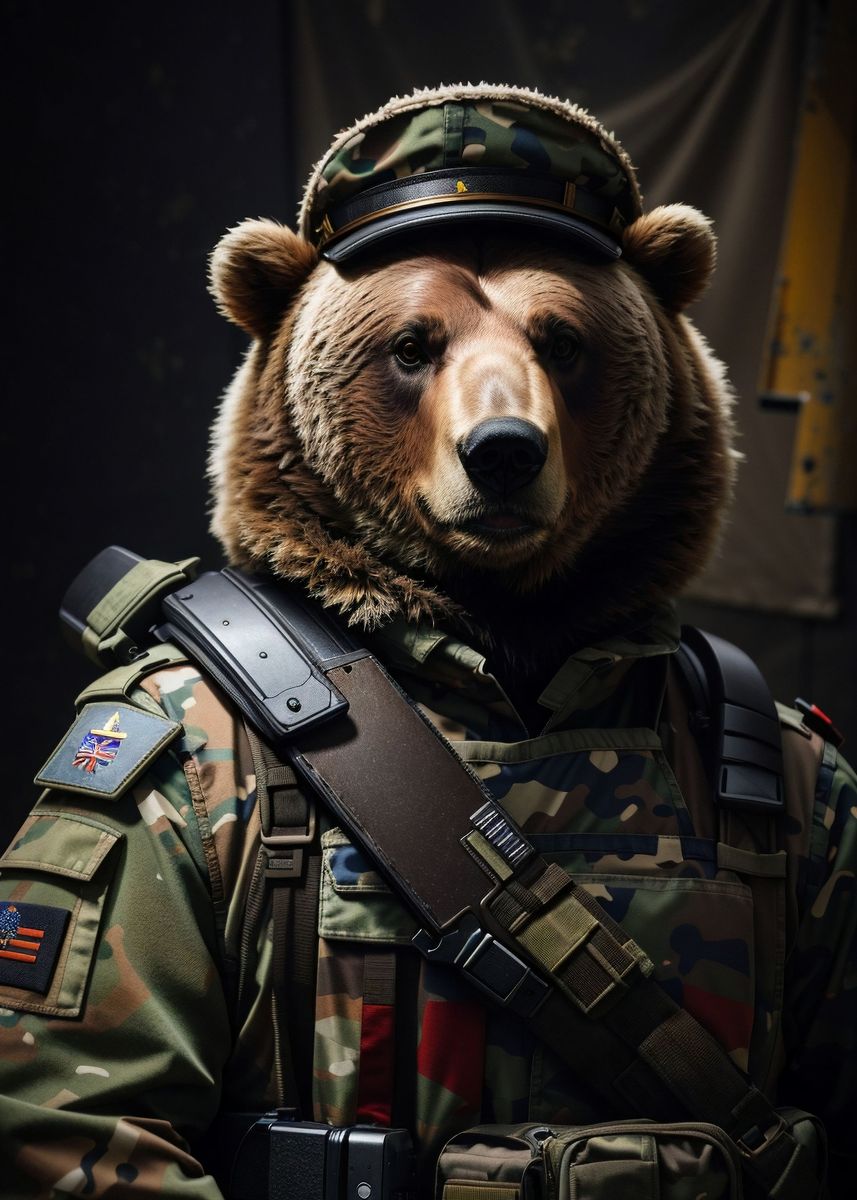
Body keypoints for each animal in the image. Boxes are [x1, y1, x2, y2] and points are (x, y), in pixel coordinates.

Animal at [0, 84, 853, 1200]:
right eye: (411, 346)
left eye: (562, 341)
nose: (503, 452)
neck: (510, 651)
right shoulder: (152, 761)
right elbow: (96, 1098)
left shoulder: (815, 785)